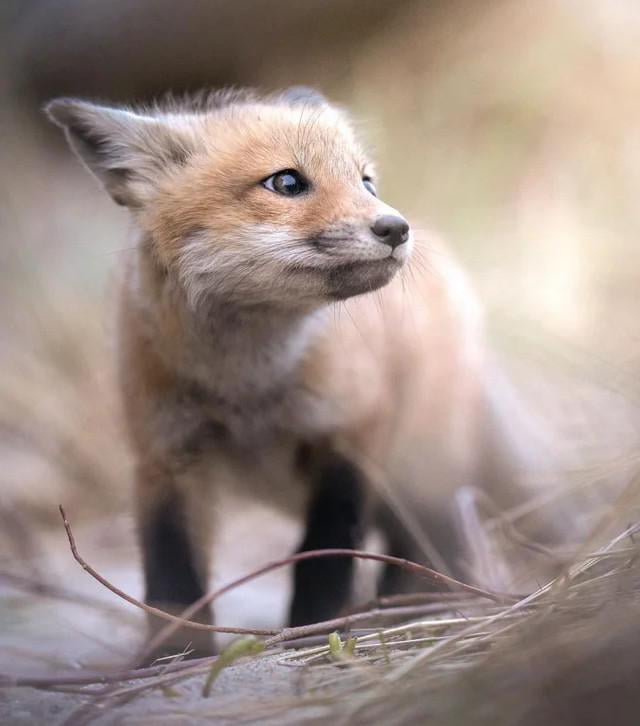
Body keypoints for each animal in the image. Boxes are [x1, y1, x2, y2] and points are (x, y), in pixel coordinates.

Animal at [46, 87, 536, 661]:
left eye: (366, 182)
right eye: (286, 182)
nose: (396, 227)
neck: (244, 387)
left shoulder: (349, 436)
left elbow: (323, 553)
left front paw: (313, 630)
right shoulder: (165, 455)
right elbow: (172, 572)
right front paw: (175, 655)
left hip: (419, 464)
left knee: (435, 537)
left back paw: (421, 607)